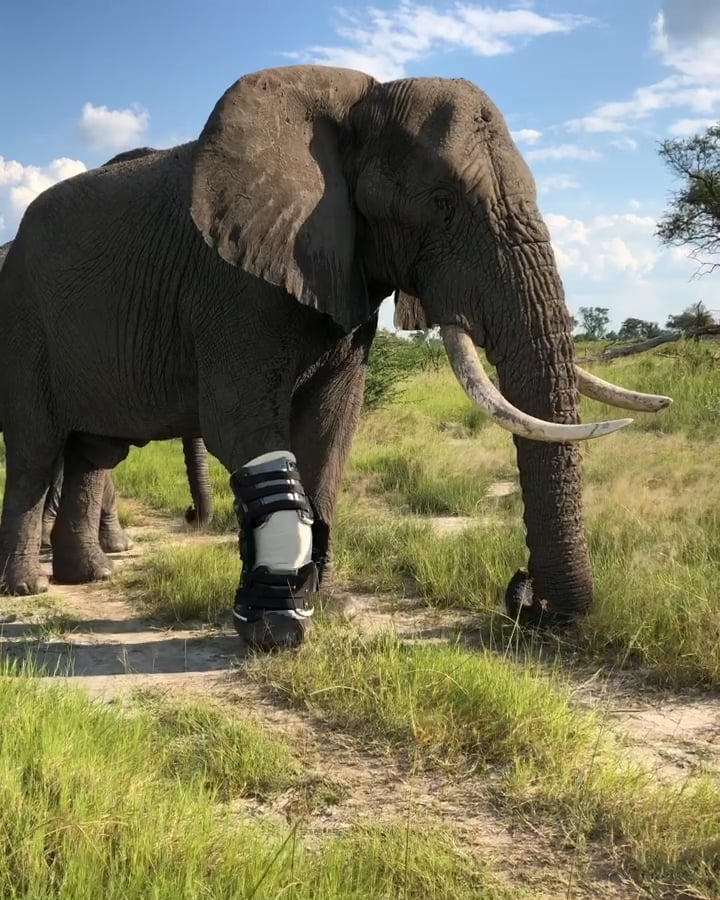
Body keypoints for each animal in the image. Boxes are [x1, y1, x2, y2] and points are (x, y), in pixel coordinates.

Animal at [0, 65, 672, 651]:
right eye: (441, 203)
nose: (524, 596)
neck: (354, 107)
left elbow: (330, 428)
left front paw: (315, 603)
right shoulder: (230, 281)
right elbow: (241, 427)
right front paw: (275, 631)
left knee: (92, 456)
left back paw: (91, 577)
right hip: (25, 316)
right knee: (36, 453)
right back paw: (27, 588)